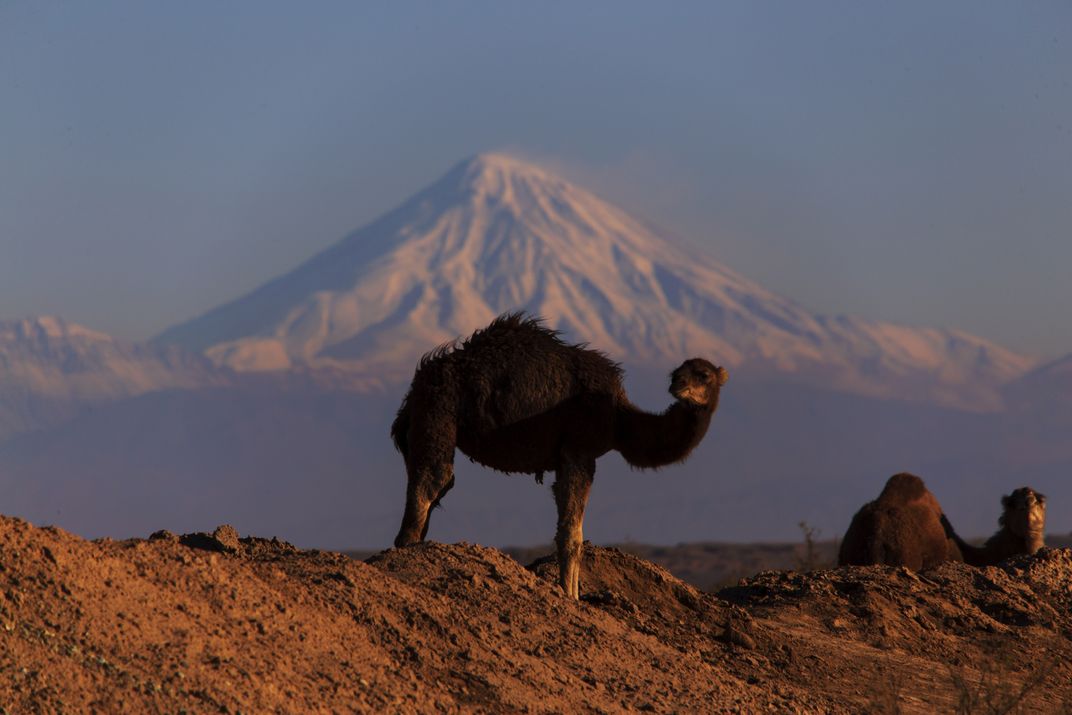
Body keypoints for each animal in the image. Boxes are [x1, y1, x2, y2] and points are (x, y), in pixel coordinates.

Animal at [390, 312, 728, 599]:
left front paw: (573, 593)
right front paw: (570, 596)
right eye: (678, 372)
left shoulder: (570, 458)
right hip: (437, 413)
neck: (618, 419)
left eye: (703, 374)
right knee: (433, 481)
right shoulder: (578, 451)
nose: (677, 384)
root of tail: (418, 382)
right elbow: (571, 535)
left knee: (433, 484)